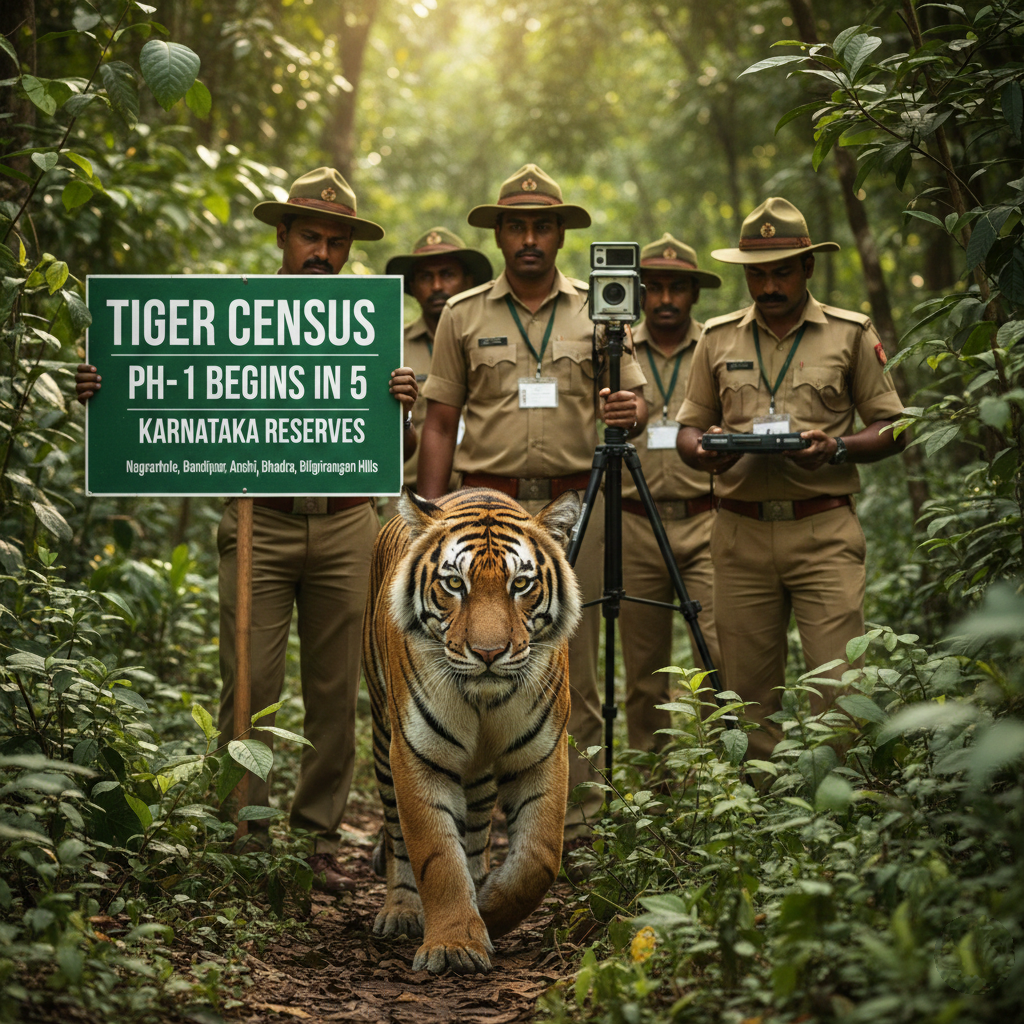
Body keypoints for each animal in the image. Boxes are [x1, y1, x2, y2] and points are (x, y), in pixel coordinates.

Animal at [361, 486, 582, 975]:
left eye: (520, 584)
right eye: (454, 584)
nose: (488, 653)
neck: (484, 701)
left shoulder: (543, 753)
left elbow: (538, 857)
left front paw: (488, 912)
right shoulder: (416, 756)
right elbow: (437, 857)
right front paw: (453, 946)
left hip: (479, 779)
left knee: (478, 834)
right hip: (382, 739)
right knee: (396, 833)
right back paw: (401, 911)